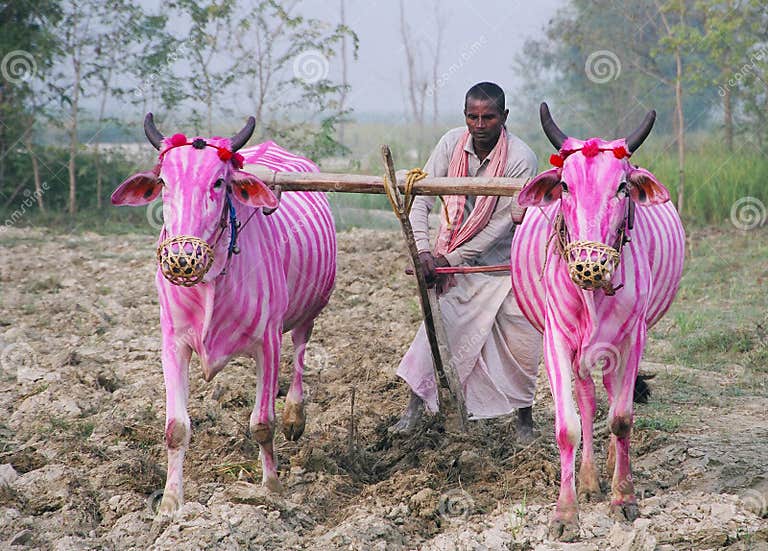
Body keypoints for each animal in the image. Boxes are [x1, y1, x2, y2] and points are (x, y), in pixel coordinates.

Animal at [111, 114, 336, 514]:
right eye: (164, 182)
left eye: (218, 182)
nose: (181, 258)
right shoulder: (173, 344)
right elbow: (176, 428)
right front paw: (170, 504)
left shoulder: (268, 343)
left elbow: (263, 423)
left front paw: (272, 489)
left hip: (308, 311)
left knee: (299, 351)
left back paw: (295, 415)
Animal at [510, 103, 685, 540]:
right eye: (565, 186)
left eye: (622, 187)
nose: (589, 267)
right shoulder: (555, 339)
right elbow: (568, 426)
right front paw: (565, 512)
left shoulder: (632, 337)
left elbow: (621, 418)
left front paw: (624, 498)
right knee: (588, 396)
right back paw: (589, 477)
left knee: (610, 393)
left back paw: (609, 467)